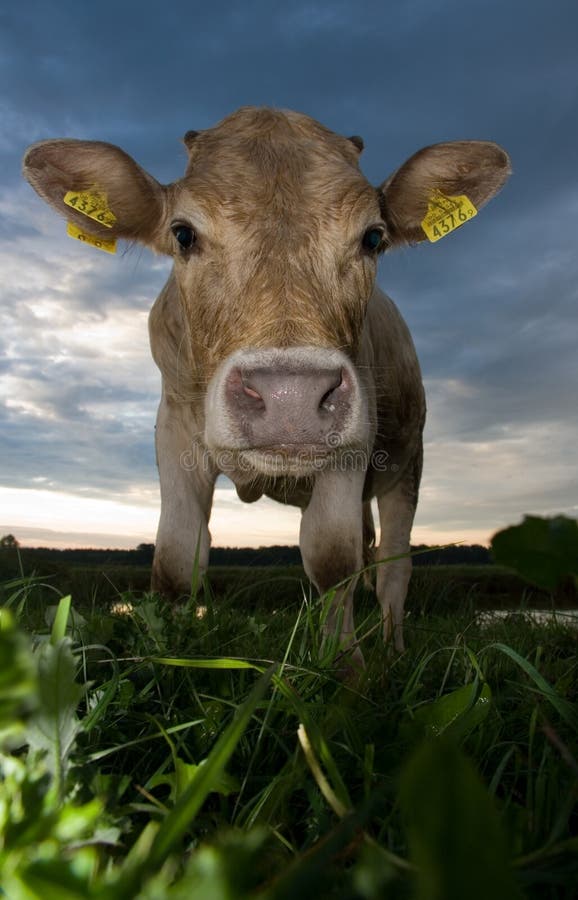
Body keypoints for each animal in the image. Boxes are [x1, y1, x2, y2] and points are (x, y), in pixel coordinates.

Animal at [23, 107, 510, 665]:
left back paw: (393, 651)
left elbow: (332, 557)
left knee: (393, 563)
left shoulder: (354, 440)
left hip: (408, 462)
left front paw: (345, 670)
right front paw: (171, 654)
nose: (289, 398)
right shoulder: (174, 429)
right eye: (183, 234)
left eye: (373, 238)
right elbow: (176, 559)